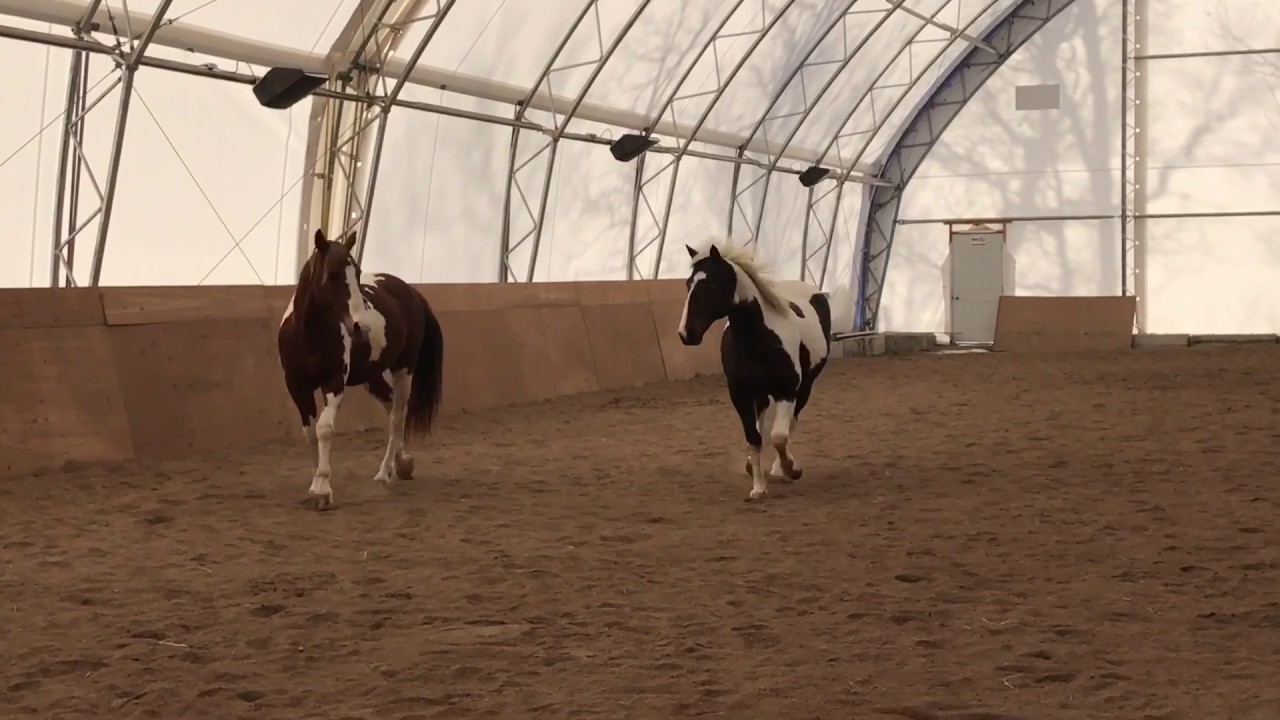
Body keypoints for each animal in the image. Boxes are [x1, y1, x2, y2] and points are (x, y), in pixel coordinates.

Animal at [276, 228, 445, 511]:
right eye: (333, 274)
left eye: (356, 273)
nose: (361, 328)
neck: (307, 335)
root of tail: (409, 291)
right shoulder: (296, 386)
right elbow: (310, 433)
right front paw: (315, 482)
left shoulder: (334, 381)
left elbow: (324, 429)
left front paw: (323, 489)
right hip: (372, 377)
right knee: (392, 409)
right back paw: (403, 463)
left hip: (404, 370)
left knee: (397, 416)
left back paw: (385, 472)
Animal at [676, 240, 832, 501]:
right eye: (689, 284)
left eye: (711, 283)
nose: (687, 334)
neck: (759, 338)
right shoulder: (740, 394)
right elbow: (753, 438)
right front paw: (758, 487)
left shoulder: (786, 391)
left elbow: (779, 436)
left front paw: (791, 469)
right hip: (760, 394)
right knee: (762, 422)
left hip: (805, 388)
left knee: (790, 424)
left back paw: (781, 470)